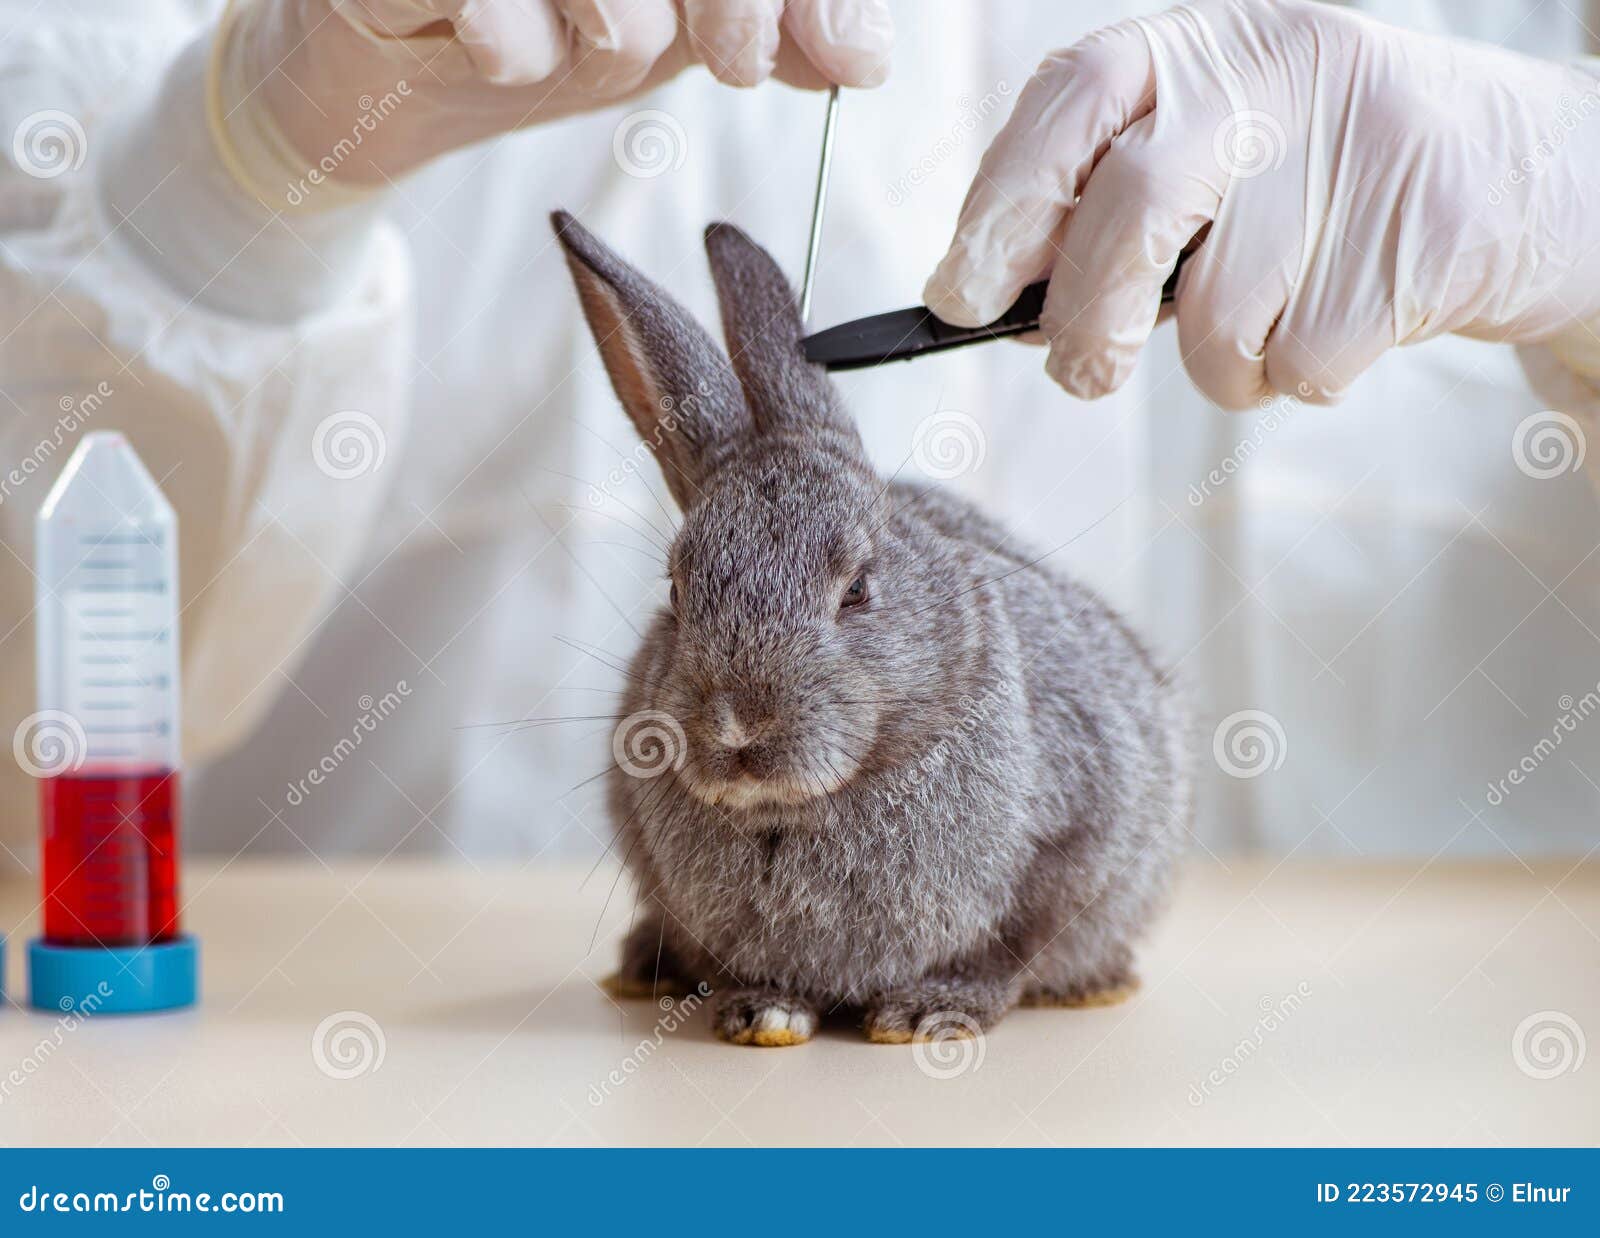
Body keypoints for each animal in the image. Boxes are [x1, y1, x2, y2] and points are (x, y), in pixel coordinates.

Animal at [551, 209, 1190, 1047]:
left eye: (857, 589)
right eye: (677, 591)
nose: (737, 726)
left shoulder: (1086, 830)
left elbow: (1016, 943)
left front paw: (929, 1012)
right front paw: (764, 1013)